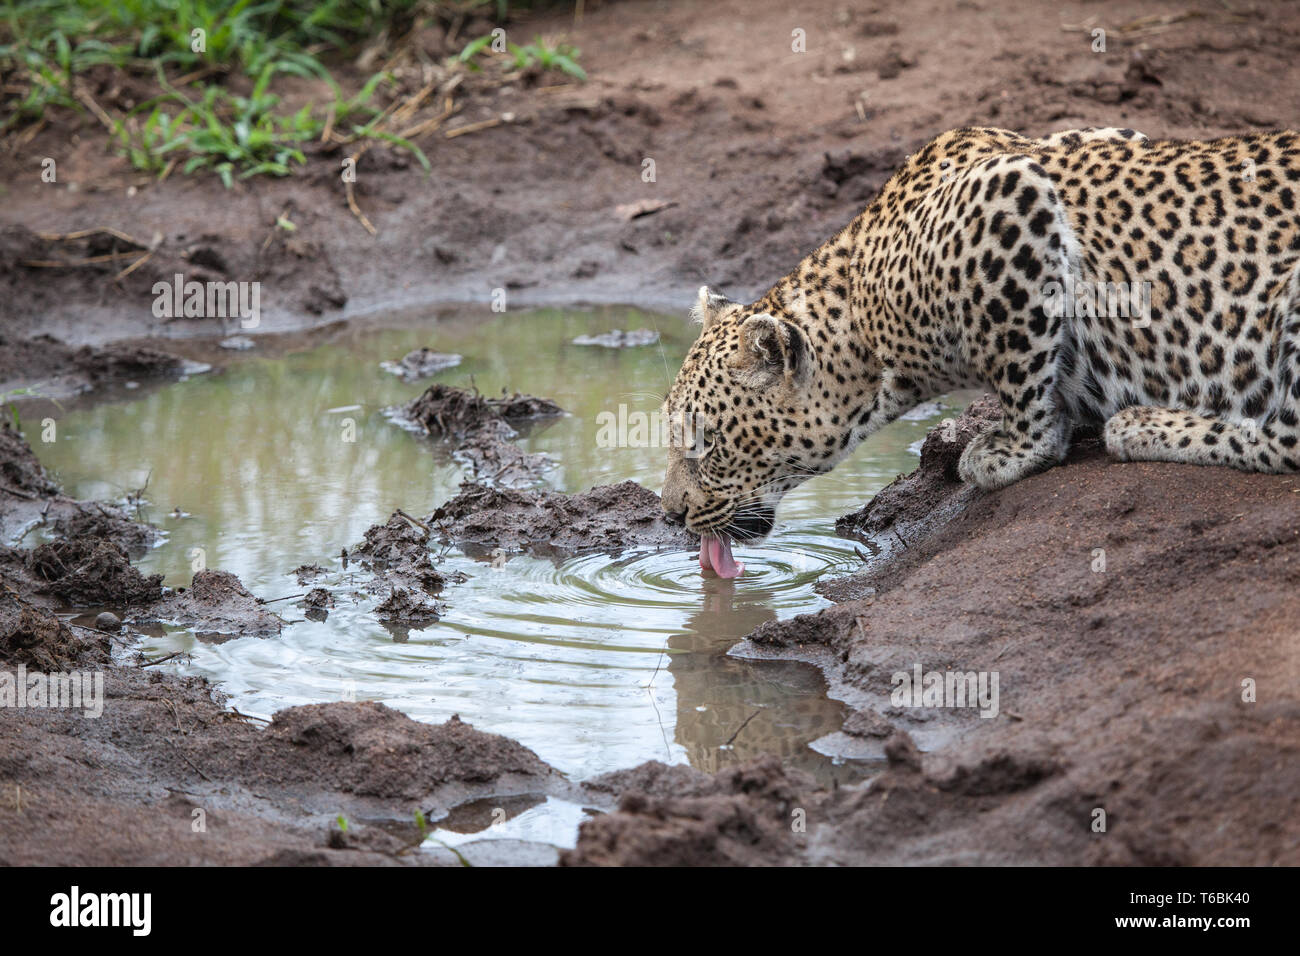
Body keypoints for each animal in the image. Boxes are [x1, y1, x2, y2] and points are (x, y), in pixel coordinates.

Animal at [660, 125, 1300, 577]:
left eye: (708, 441)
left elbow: (1021, 361)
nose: (671, 514)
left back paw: (1144, 425)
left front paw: (1011, 450)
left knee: (1288, 437)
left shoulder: (1010, 204)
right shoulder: (1105, 135)